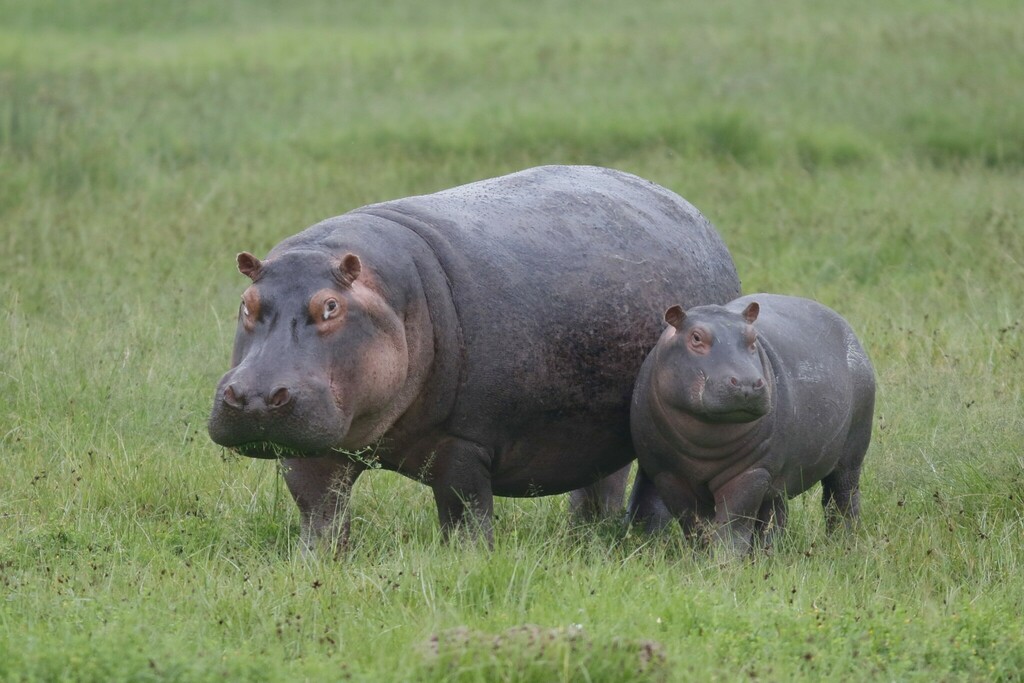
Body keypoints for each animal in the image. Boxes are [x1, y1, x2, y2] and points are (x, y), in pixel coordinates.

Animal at [208, 165, 741, 552]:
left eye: (331, 306)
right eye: (247, 303)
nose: (254, 397)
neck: (387, 293)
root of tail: (688, 209)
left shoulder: (463, 441)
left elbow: (464, 512)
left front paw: (468, 560)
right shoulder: (310, 444)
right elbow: (319, 510)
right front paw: (315, 562)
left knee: (653, 489)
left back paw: (642, 543)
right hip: (597, 432)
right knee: (600, 483)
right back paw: (589, 540)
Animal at [628, 294, 875, 555]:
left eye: (752, 337)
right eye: (696, 337)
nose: (747, 382)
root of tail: (845, 326)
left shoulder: (751, 473)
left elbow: (734, 523)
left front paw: (725, 559)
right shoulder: (668, 475)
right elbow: (694, 521)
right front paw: (701, 555)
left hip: (851, 452)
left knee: (842, 497)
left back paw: (843, 543)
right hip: (779, 474)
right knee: (775, 513)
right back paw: (768, 553)